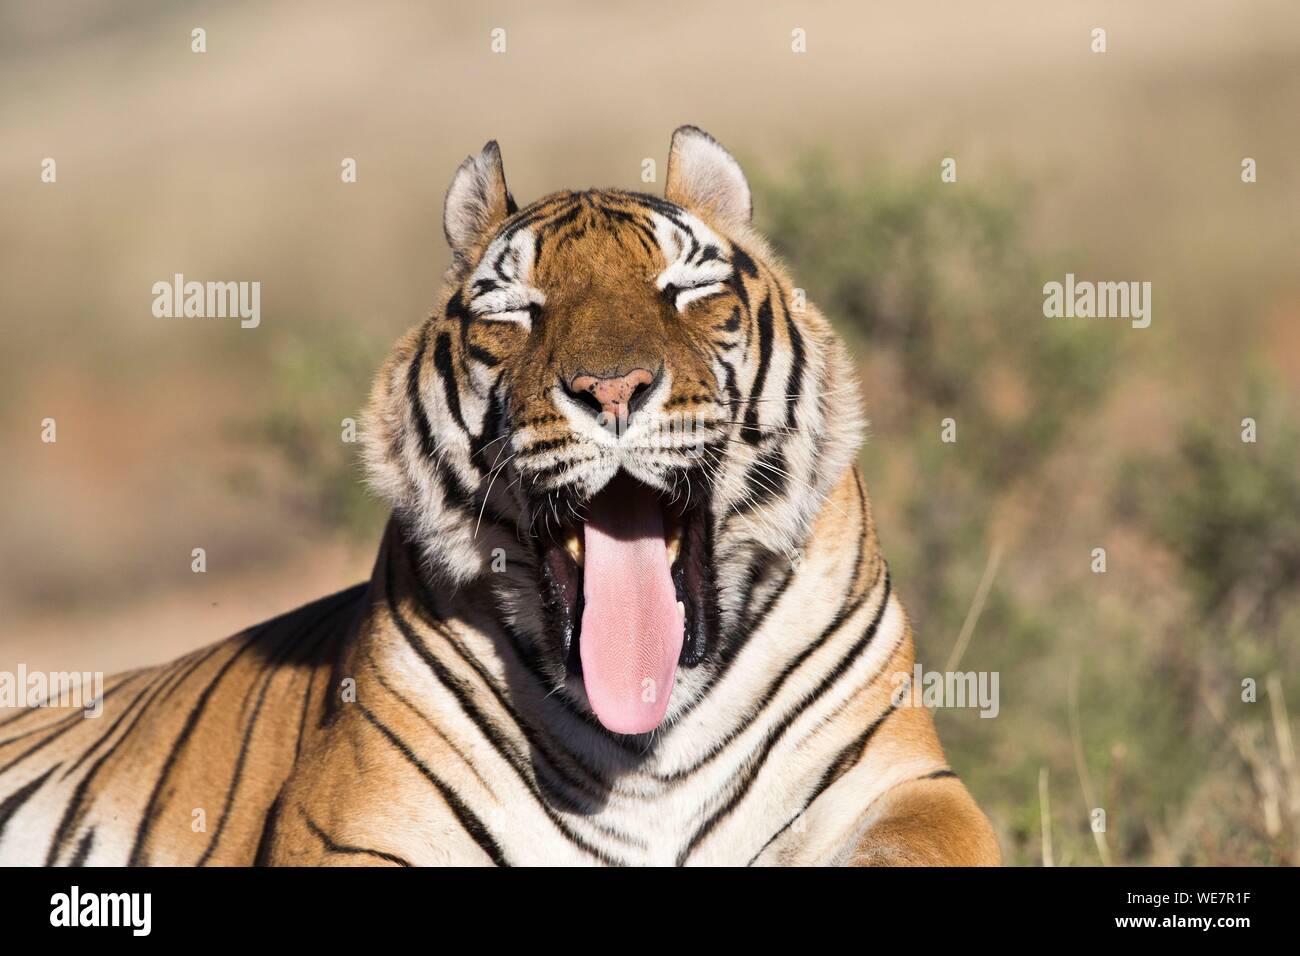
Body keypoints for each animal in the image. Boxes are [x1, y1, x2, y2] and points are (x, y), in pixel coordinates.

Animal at [0, 126, 998, 867]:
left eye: (685, 291)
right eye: (515, 312)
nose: (612, 390)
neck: (647, 743)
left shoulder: (907, 785)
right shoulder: (354, 816)